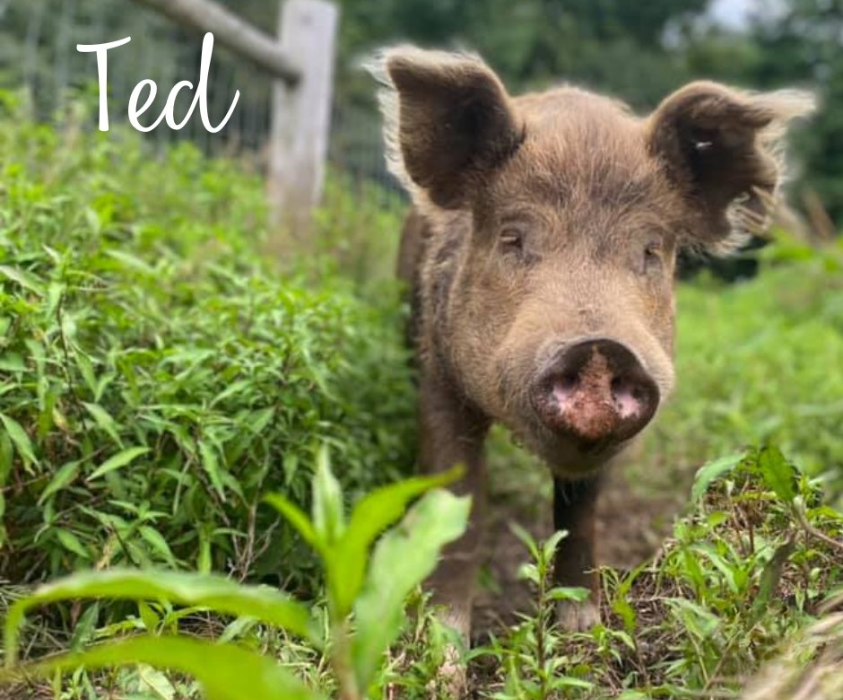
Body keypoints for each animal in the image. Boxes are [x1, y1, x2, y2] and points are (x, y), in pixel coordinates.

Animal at [372, 47, 813, 644]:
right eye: (512, 237)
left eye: (650, 249)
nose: (601, 347)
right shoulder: (437, 374)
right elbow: (458, 509)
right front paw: (445, 653)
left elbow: (579, 517)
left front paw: (583, 638)